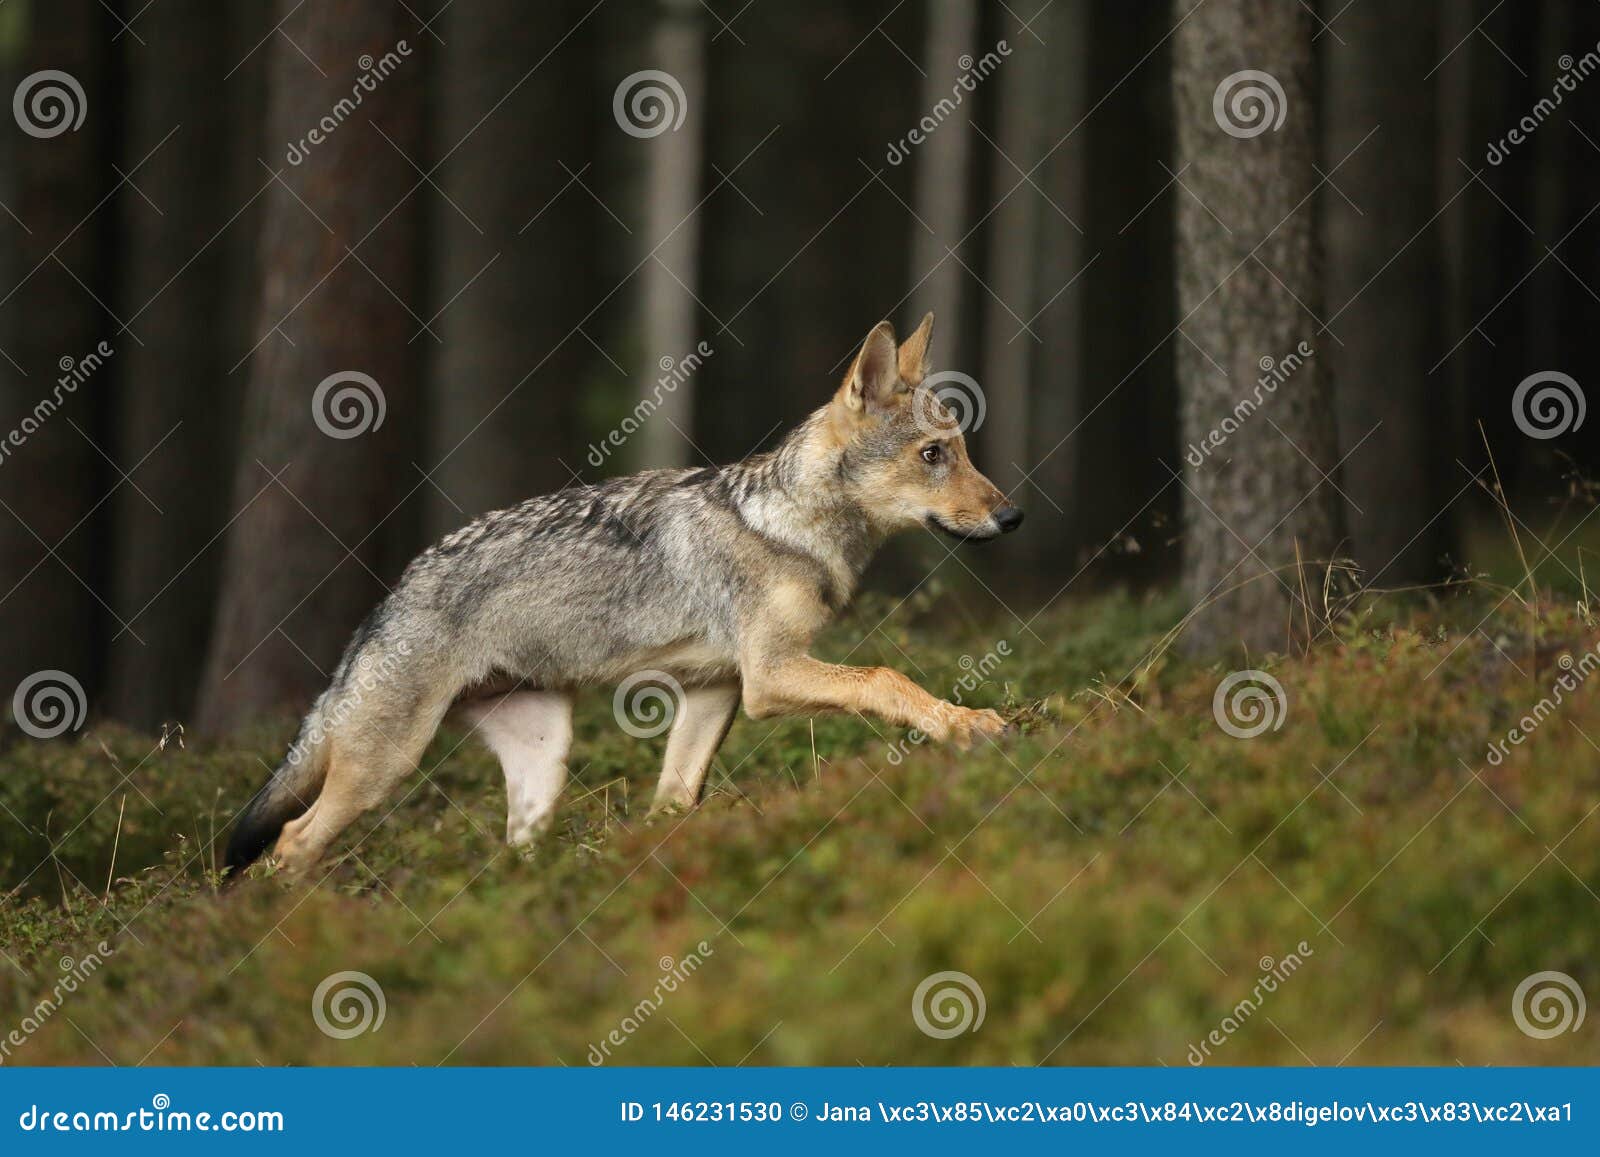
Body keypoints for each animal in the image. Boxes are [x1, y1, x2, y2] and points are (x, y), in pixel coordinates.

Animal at [225, 313, 1023, 876]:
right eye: (933, 455)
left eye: (964, 451)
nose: (1014, 516)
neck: (792, 523)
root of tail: (388, 600)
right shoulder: (768, 678)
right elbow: (888, 677)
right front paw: (966, 725)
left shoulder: (715, 691)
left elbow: (675, 800)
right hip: (383, 769)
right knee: (289, 844)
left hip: (545, 760)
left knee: (512, 851)